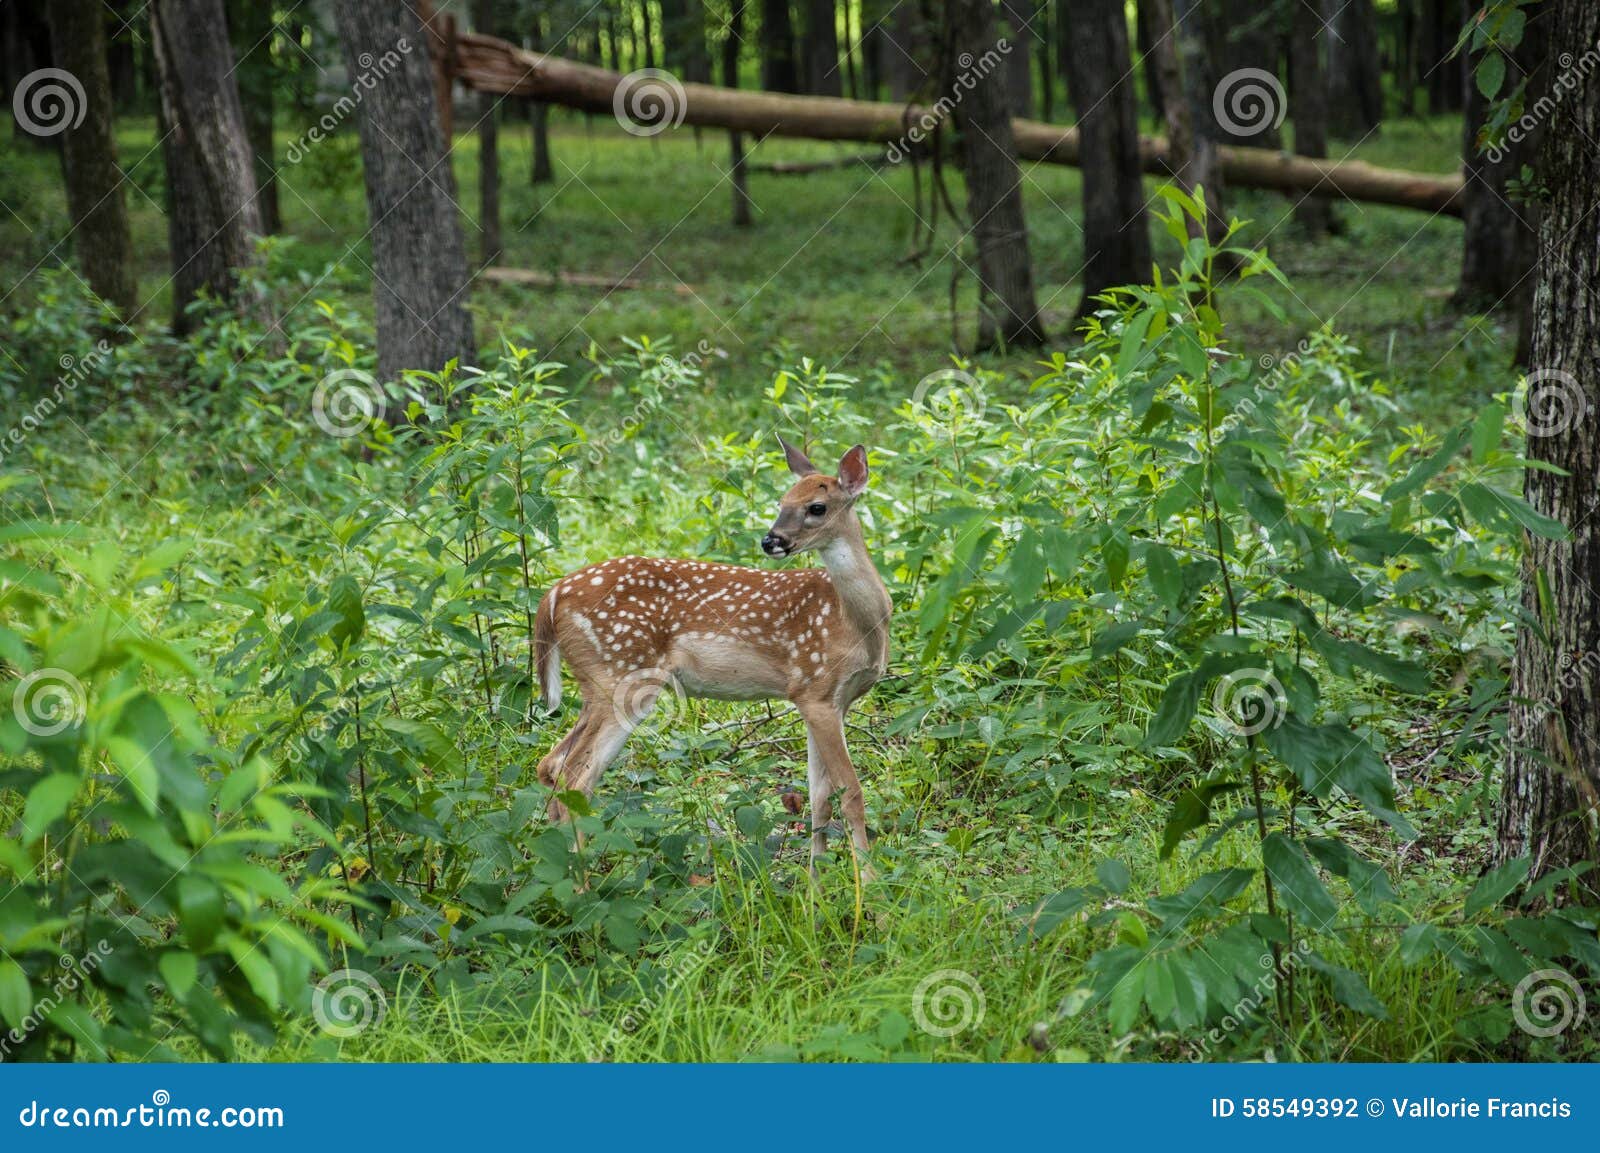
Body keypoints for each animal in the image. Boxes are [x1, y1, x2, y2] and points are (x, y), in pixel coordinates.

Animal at [532, 439, 892, 874]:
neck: (856, 624)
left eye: (816, 507)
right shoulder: (815, 689)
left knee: (551, 765)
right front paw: (869, 884)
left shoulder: (828, 701)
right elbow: (851, 792)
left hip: (597, 684)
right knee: (575, 778)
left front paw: (816, 884)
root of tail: (552, 597)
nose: (770, 541)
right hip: (621, 675)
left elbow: (819, 797)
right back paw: (581, 883)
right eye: (782, 501)